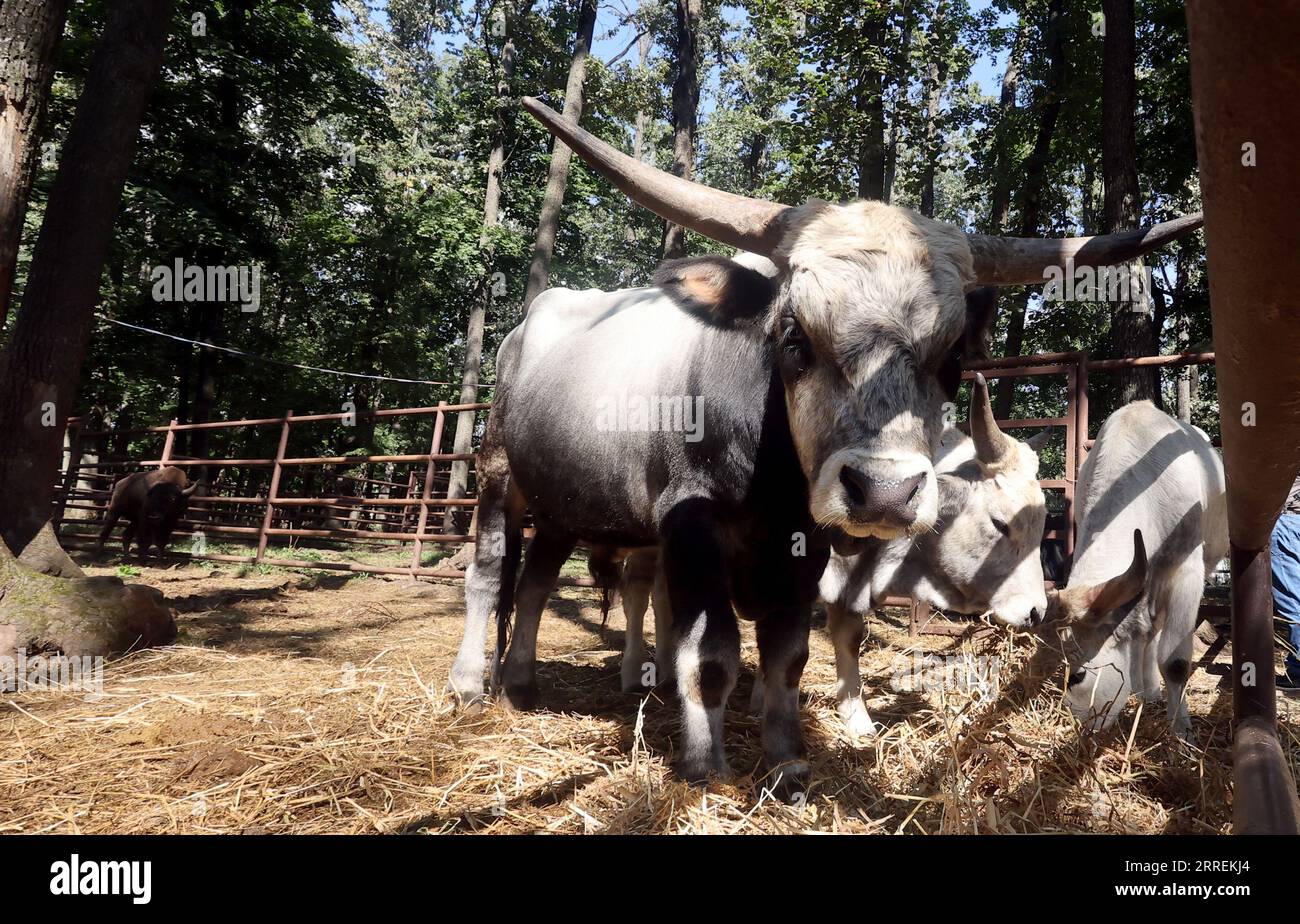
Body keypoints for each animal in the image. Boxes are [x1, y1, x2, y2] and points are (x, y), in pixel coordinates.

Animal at [448, 96, 1202, 797]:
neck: (774, 481)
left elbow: (790, 654)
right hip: (499, 474)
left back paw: (522, 683)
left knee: (538, 580)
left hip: (566, 501)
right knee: (490, 572)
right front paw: (705, 764)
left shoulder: (807, 546)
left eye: (955, 357)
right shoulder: (692, 525)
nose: (886, 491)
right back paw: (471, 683)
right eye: (793, 336)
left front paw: (786, 759)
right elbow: (712, 652)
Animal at [1042, 401, 1227, 741]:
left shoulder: (1186, 571)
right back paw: (1146, 690)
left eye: (1077, 676)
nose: (1082, 723)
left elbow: (1176, 661)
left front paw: (1182, 732)